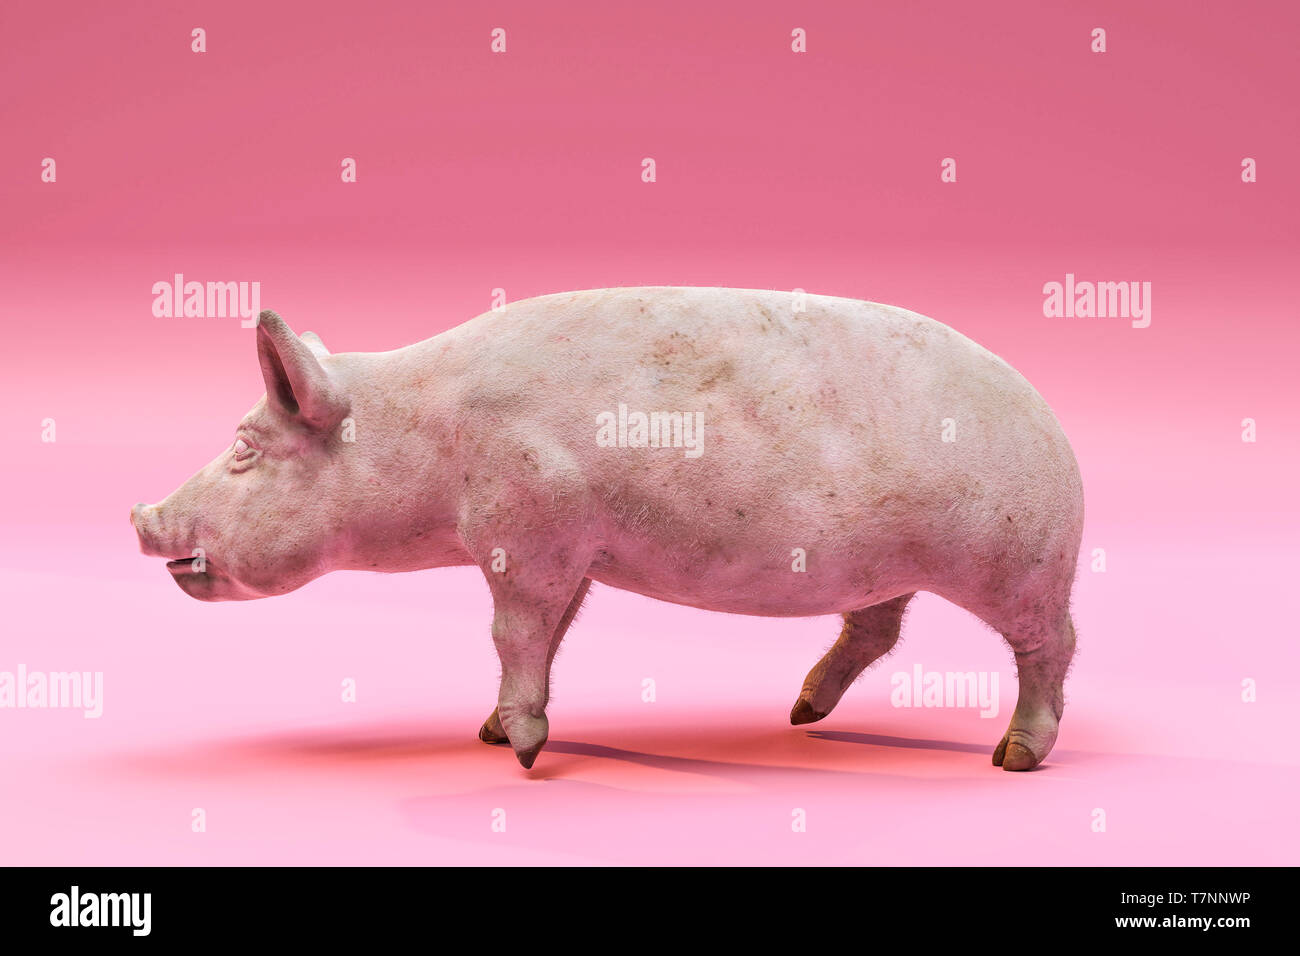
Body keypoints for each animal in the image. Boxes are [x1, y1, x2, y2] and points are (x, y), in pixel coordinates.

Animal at [131, 288, 1083, 771]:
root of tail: (1060, 438)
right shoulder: (571, 549)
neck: (429, 443)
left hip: (1021, 563)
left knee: (1053, 646)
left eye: (246, 449)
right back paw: (801, 712)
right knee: (876, 628)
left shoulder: (529, 526)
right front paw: (487, 733)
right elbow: (550, 637)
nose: (140, 516)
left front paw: (519, 752)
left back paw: (1013, 757)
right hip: (888, 565)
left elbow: (514, 632)